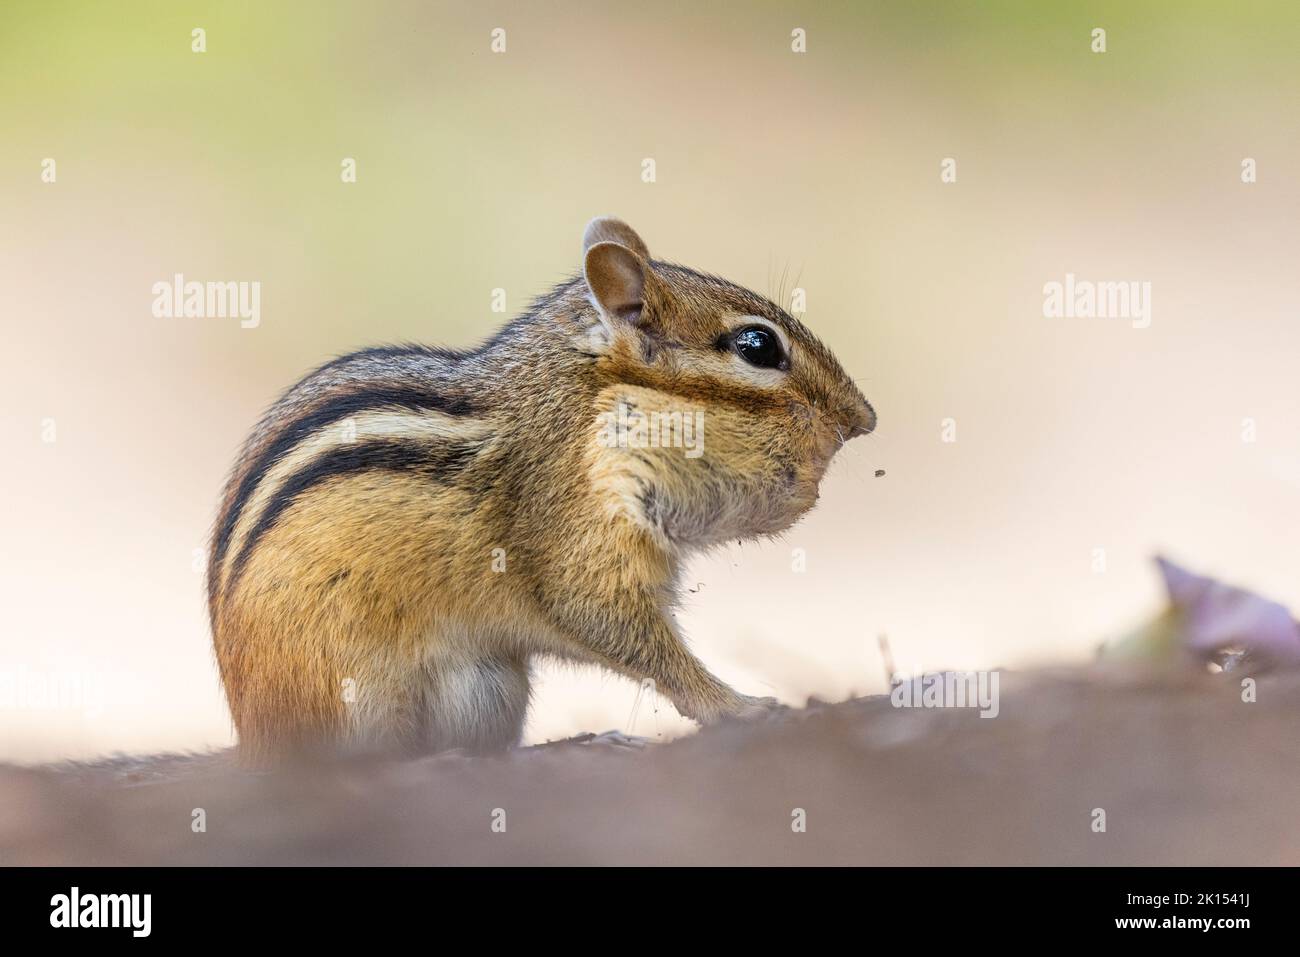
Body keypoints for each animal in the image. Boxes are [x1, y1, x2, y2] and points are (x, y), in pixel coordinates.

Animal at [207, 217, 875, 764]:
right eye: (757, 346)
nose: (864, 419)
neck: (583, 402)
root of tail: (254, 739)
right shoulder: (574, 524)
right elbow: (606, 620)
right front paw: (739, 706)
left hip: (488, 690)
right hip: (352, 694)